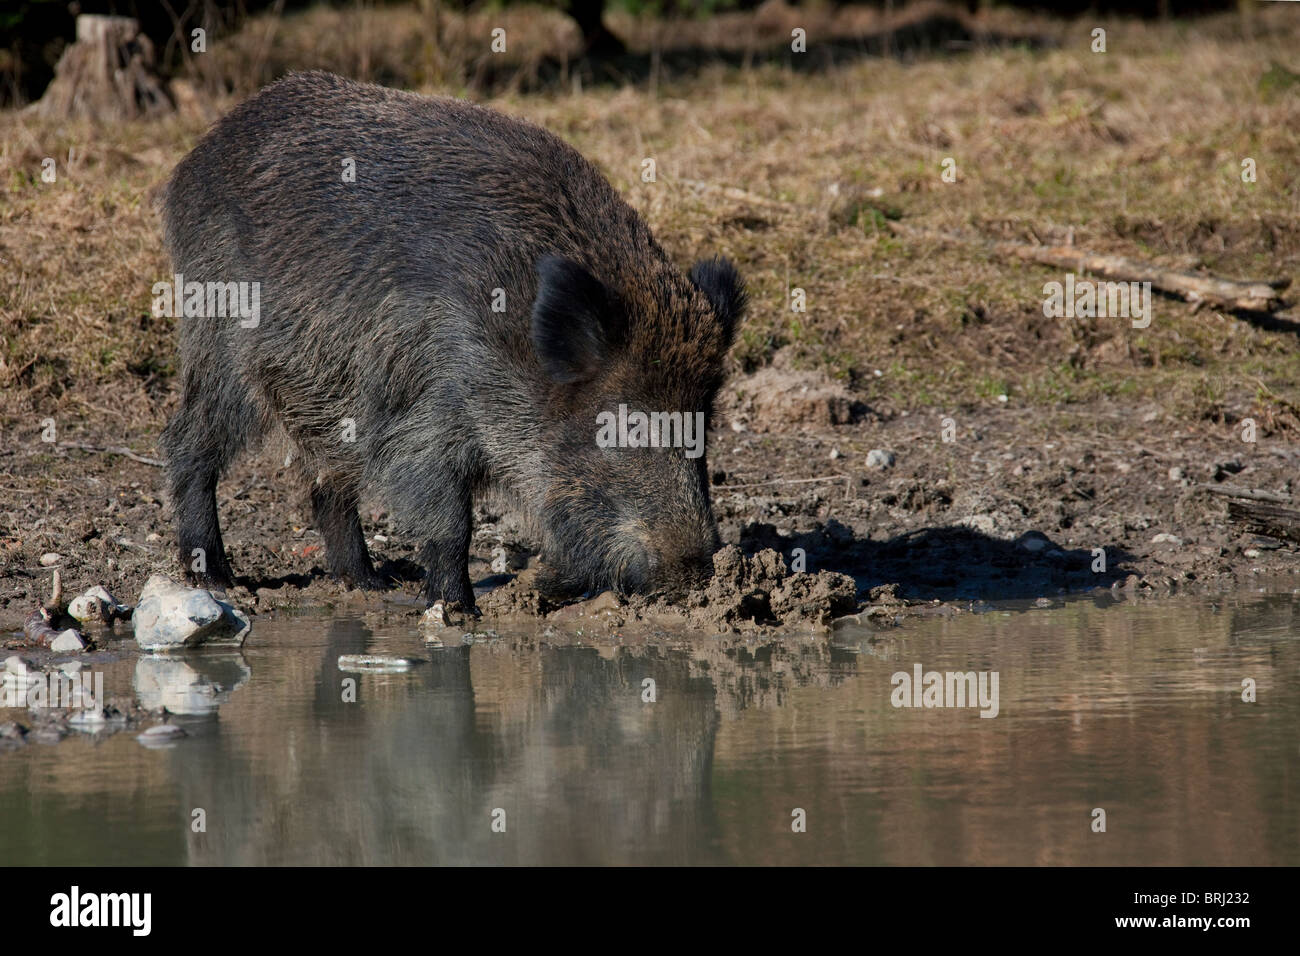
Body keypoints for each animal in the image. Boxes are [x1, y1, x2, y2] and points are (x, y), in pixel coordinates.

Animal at [156, 71, 745, 612]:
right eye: (622, 424)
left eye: (703, 423)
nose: (697, 572)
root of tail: (200, 155)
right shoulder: (427, 413)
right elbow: (449, 522)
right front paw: (458, 611)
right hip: (221, 344)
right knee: (190, 443)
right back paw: (217, 579)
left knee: (326, 482)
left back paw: (369, 583)